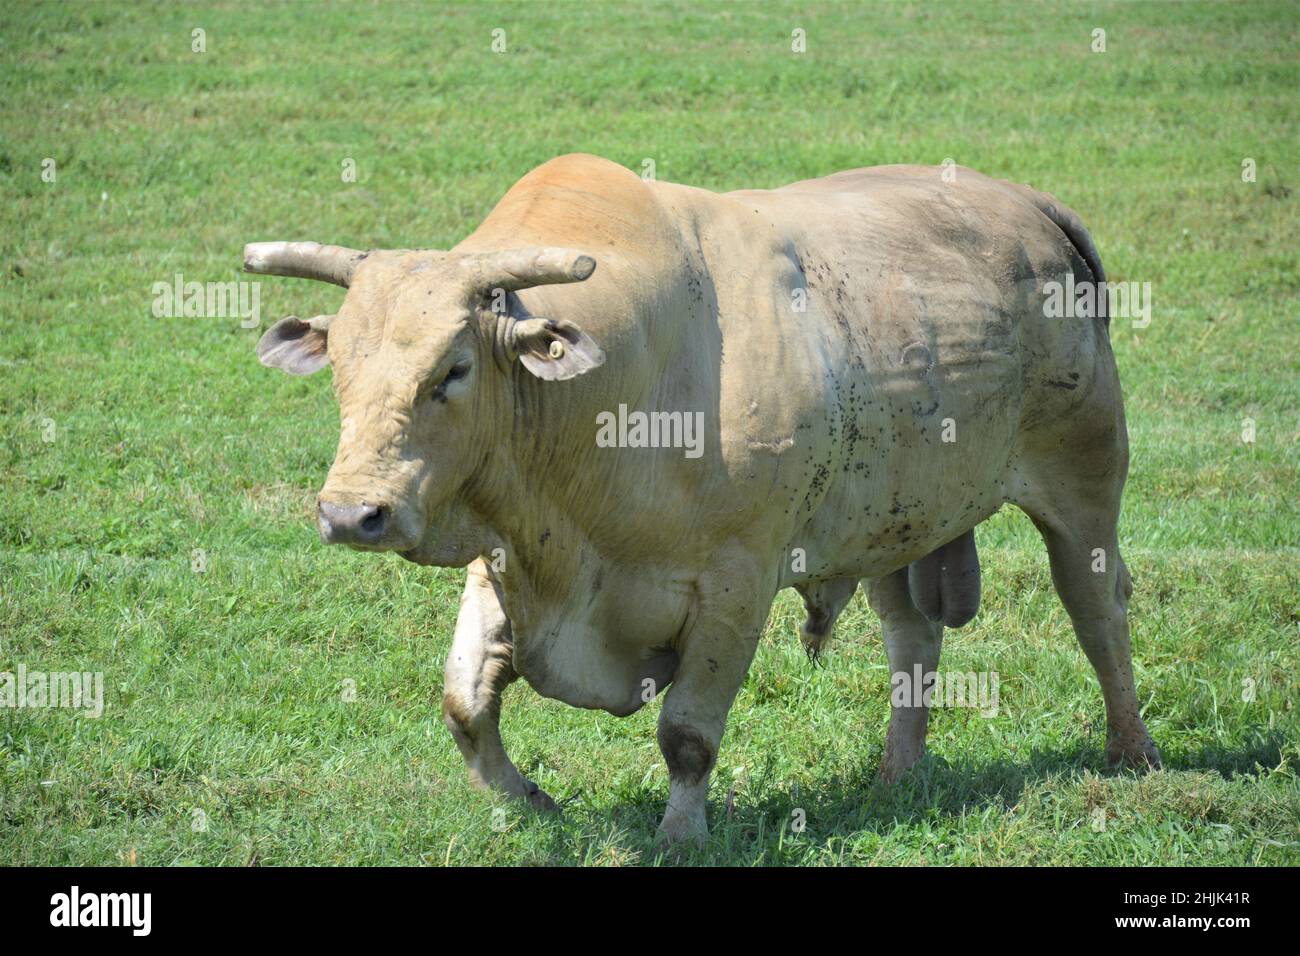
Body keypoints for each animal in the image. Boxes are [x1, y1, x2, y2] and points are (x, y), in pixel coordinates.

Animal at [245, 153, 1160, 842]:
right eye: (341, 364)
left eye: (453, 369)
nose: (352, 514)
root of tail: (1030, 204)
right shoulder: (507, 554)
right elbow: (466, 703)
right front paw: (534, 800)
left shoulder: (735, 583)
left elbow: (686, 732)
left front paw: (681, 836)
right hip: (894, 522)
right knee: (913, 634)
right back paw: (898, 772)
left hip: (1083, 474)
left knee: (1096, 606)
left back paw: (1133, 751)